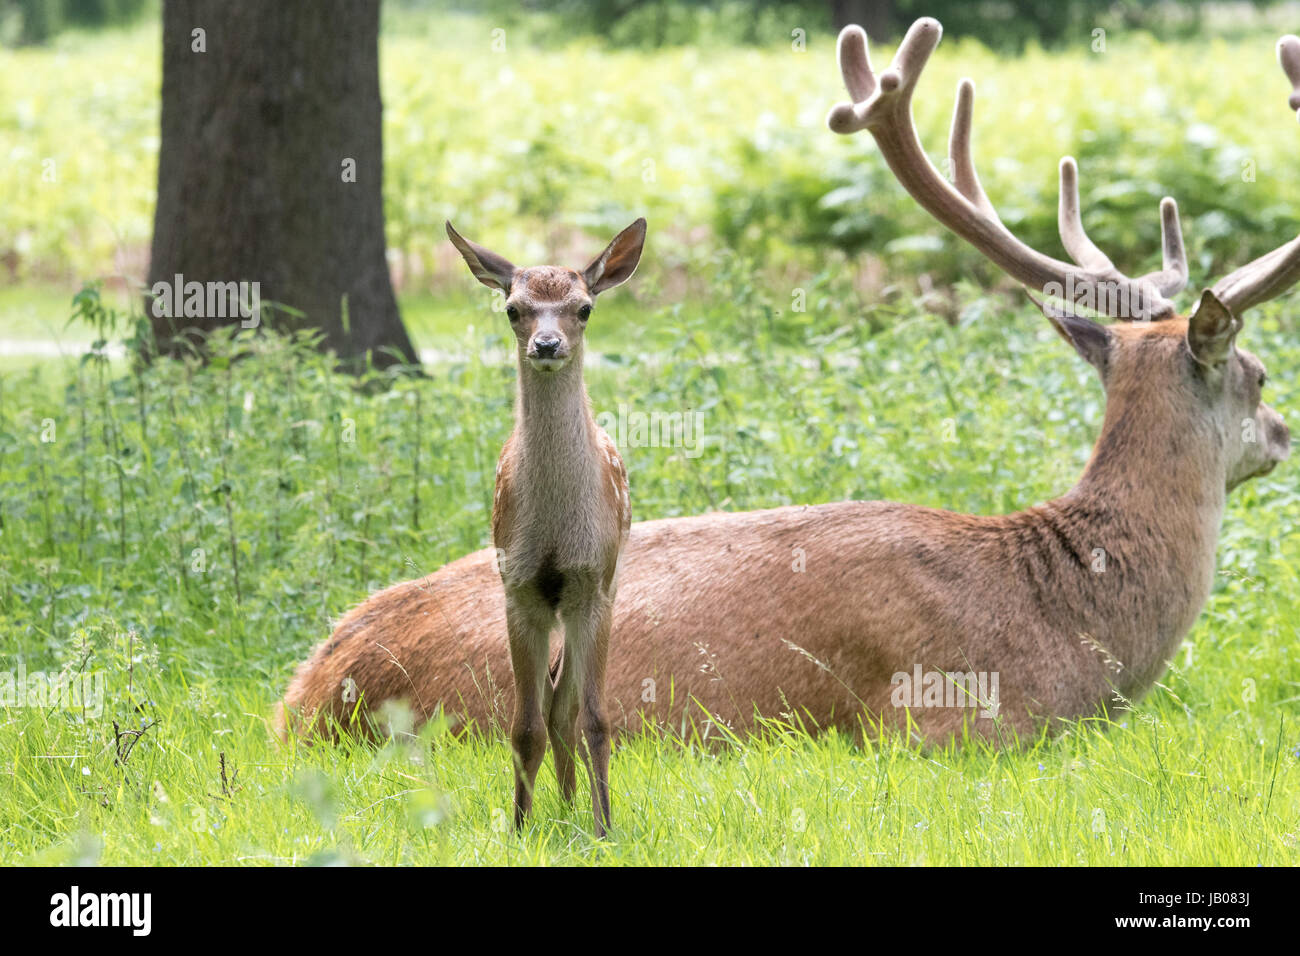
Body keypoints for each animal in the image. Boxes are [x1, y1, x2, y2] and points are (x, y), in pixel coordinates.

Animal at [441, 219, 644, 836]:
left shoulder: (590, 586)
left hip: (608, 587)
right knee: (553, 704)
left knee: (568, 704)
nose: (547, 345)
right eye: (513, 309)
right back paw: (565, 804)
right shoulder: (519, 588)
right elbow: (522, 725)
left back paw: (579, 808)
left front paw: (605, 829)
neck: (556, 530)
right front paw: (519, 826)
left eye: (583, 308)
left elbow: (598, 718)